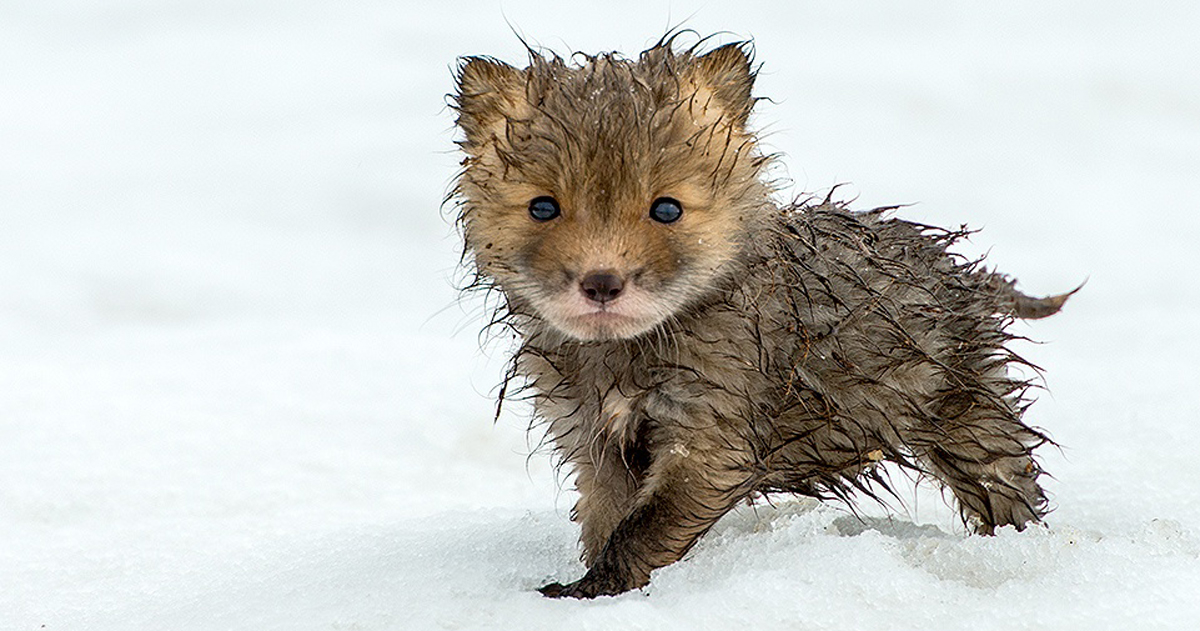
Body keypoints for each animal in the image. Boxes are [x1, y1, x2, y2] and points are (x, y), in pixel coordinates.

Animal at [450, 36, 1076, 599]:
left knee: (1007, 478)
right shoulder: (589, 432)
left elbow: (644, 527)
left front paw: (597, 588)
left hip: (966, 411)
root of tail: (956, 270)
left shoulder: (714, 433)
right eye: (543, 207)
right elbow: (605, 516)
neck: (624, 359)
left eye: (667, 209)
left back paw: (1018, 550)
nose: (601, 282)